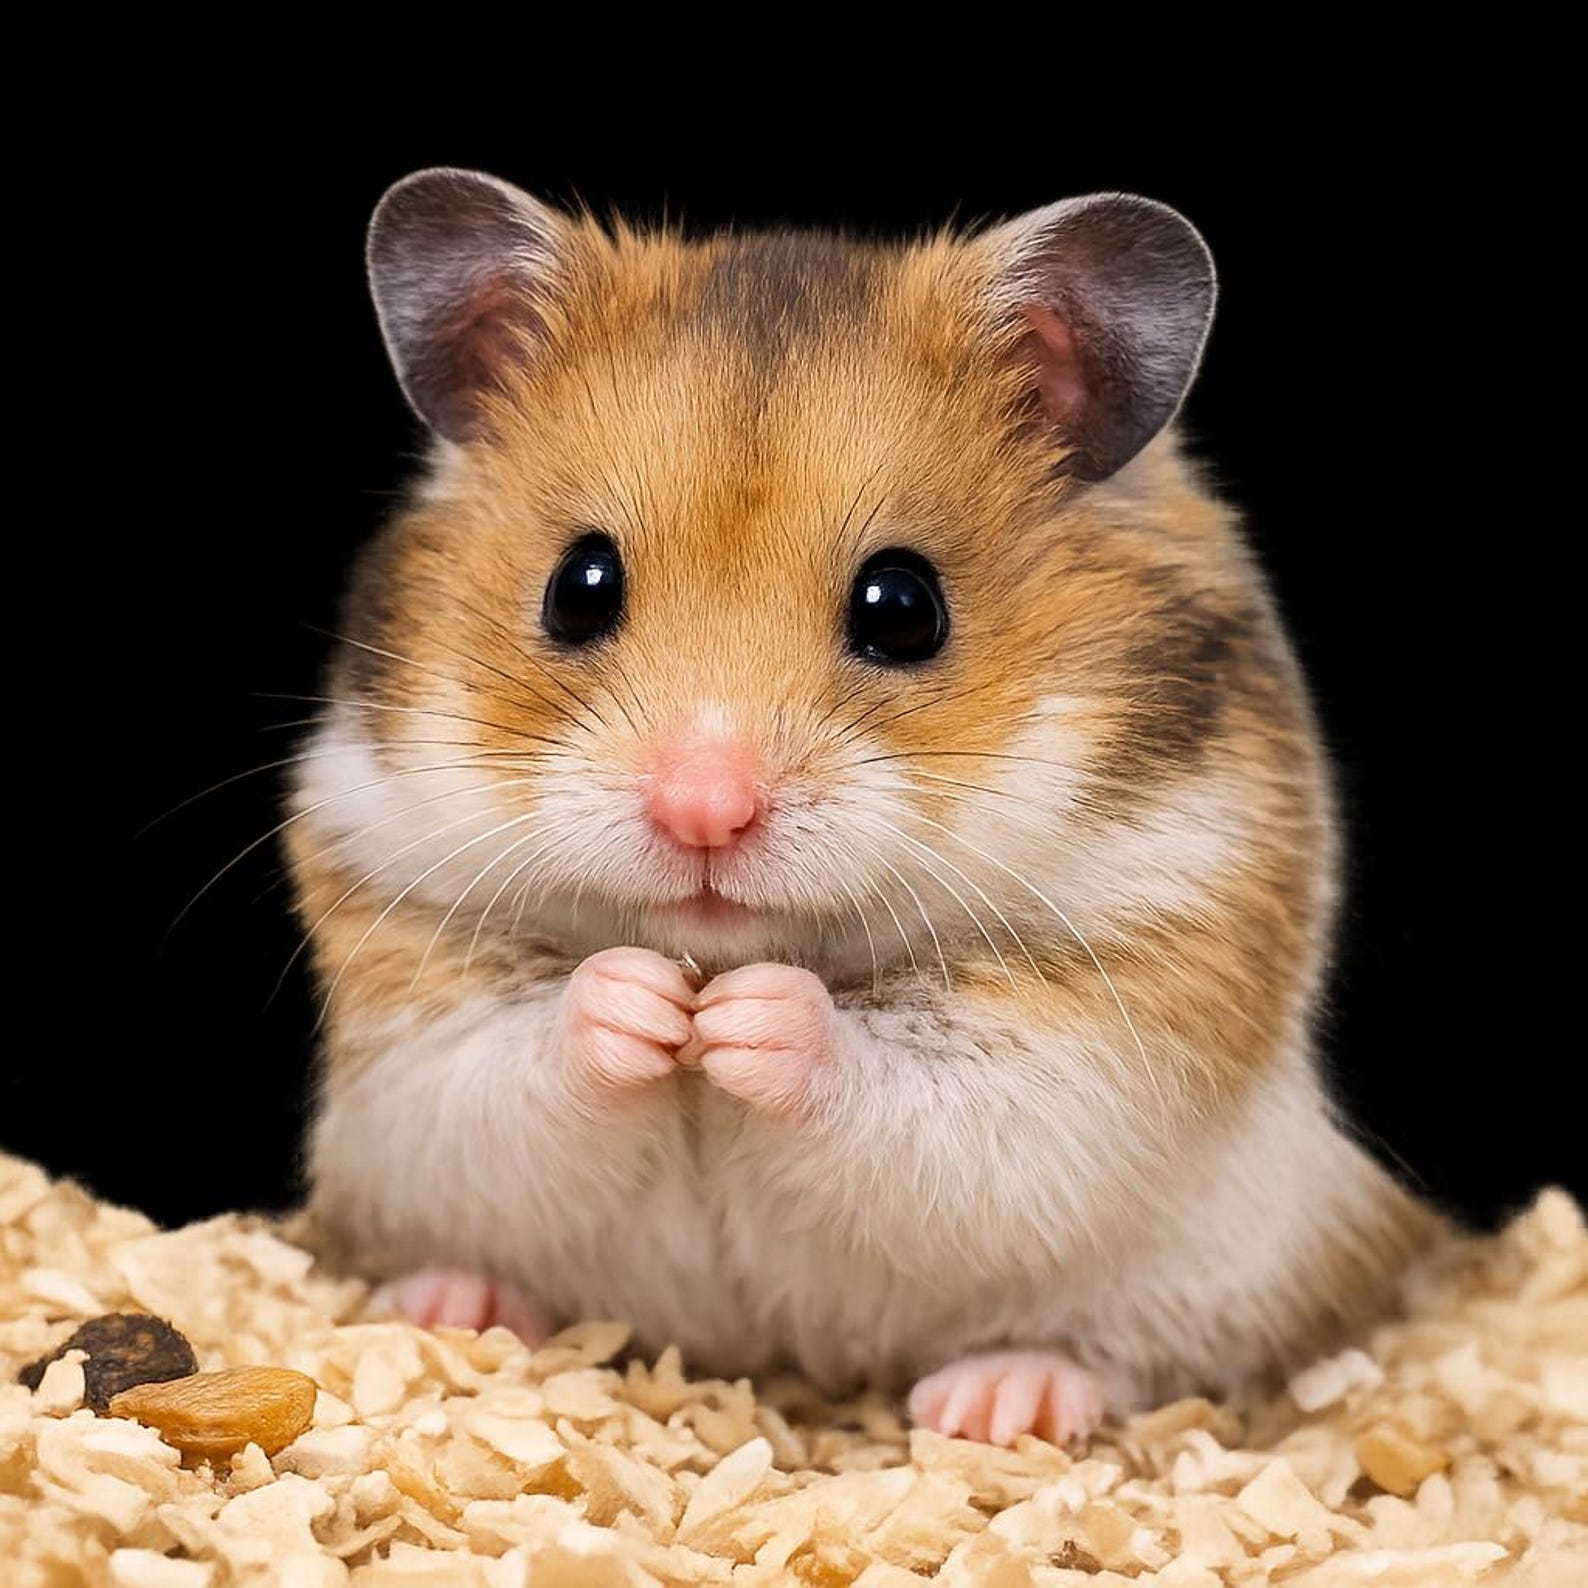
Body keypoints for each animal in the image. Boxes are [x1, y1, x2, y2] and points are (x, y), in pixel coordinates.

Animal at [287, 167, 1438, 1446]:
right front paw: (647, 1003)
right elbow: (509, 1053)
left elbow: (910, 1096)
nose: (702, 813)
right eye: (577, 587)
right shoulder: (406, 974)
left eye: (903, 606)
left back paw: (1002, 1396)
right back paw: (454, 1303)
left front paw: (745, 1020)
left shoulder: (1111, 1000)